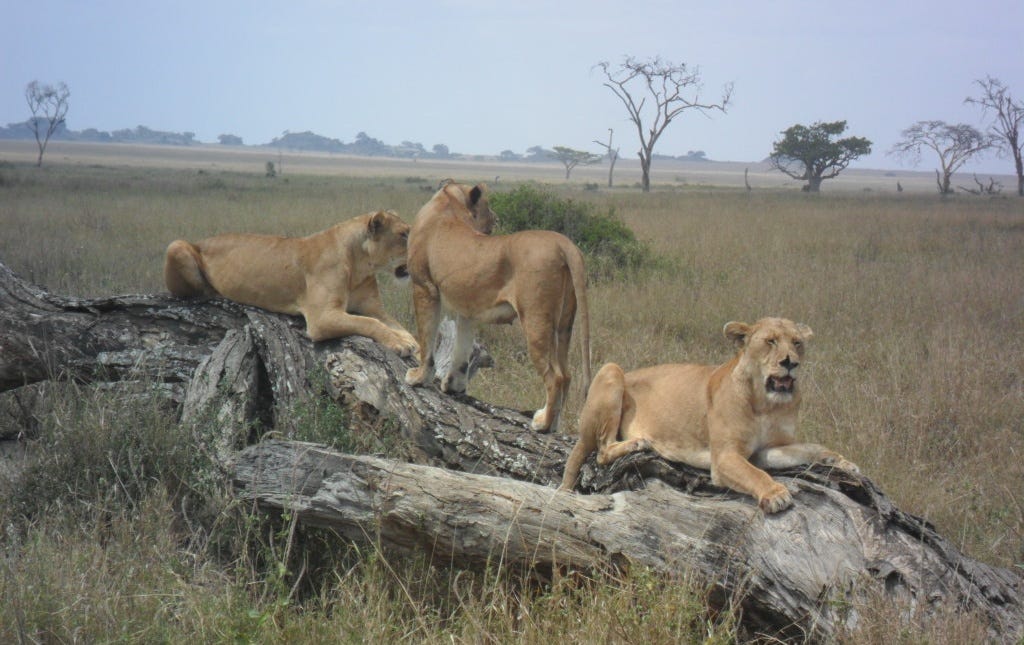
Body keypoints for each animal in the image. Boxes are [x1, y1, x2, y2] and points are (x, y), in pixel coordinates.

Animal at [163, 209, 419, 356]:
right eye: (404, 235)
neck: (361, 266)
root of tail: (203, 241)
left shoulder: (374, 308)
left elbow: (396, 325)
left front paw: (410, 342)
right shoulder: (321, 318)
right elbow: (369, 323)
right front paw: (399, 344)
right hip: (176, 244)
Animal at [404, 181, 591, 433]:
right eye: (488, 205)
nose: (497, 218)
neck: (450, 202)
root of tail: (563, 242)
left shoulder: (424, 287)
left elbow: (426, 340)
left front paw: (418, 377)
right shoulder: (467, 305)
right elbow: (462, 348)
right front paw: (453, 385)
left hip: (536, 321)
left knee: (556, 377)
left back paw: (542, 424)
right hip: (564, 325)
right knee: (568, 374)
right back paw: (552, 424)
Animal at [559, 317, 858, 513]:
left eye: (797, 343)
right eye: (771, 341)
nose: (791, 363)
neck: (766, 403)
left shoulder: (767, 449)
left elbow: (810, 448)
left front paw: (843, 462)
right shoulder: (725, 456)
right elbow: (754, 474)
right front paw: (776, 494)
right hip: (611, 370)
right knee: (601, 450)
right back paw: (638, 442)